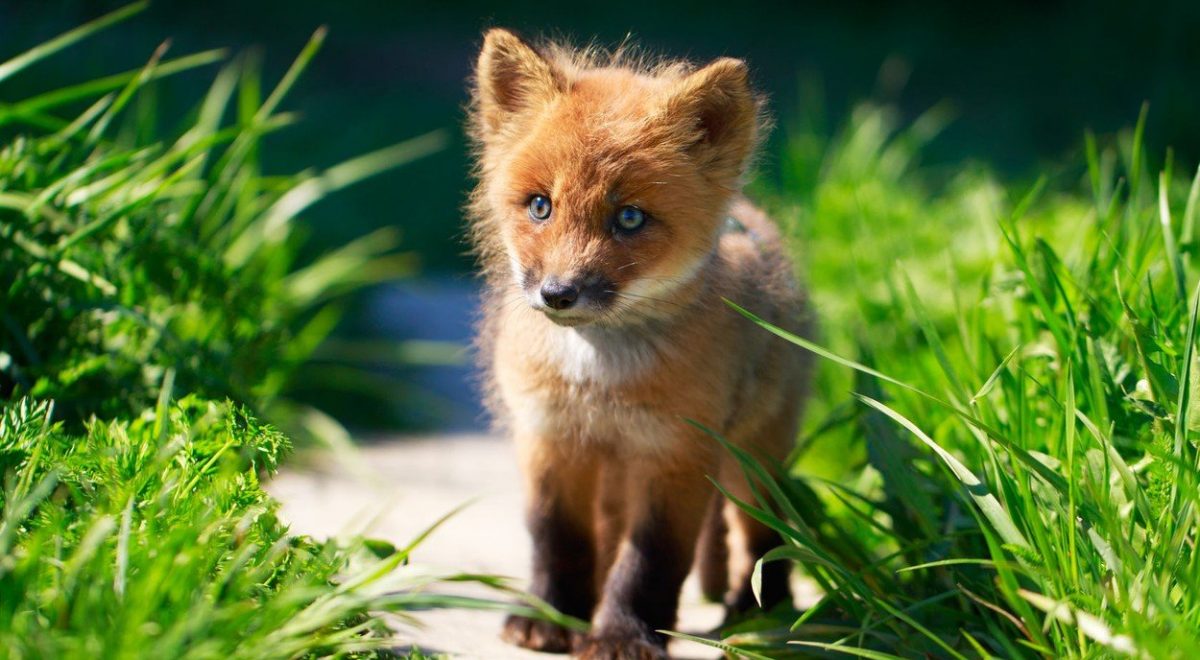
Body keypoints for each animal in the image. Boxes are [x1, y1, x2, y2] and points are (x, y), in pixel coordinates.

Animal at [467, 28, 814, 659]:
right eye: (540, 206)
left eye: (629, 218)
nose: (559, 293)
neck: (598, 373)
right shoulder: (550, 439)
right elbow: (558, 542)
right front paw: (551, 618)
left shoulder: (674, 454)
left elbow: (650, 562)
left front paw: (623, 634)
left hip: (750, 462)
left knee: (763, 538)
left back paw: (760, 613)